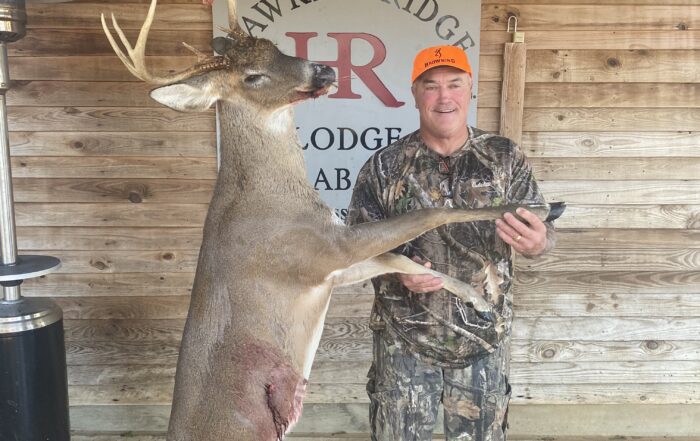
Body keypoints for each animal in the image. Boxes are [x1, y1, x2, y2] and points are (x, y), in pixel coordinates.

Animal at [101, 0, 564, 439]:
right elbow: (432, 211)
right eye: (252, 76)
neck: (273, 200)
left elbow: (403, 259)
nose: (323, 69)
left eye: (277, 47)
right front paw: (542, 209)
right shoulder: (317, 251)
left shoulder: (333, 261)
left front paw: (479, 297)